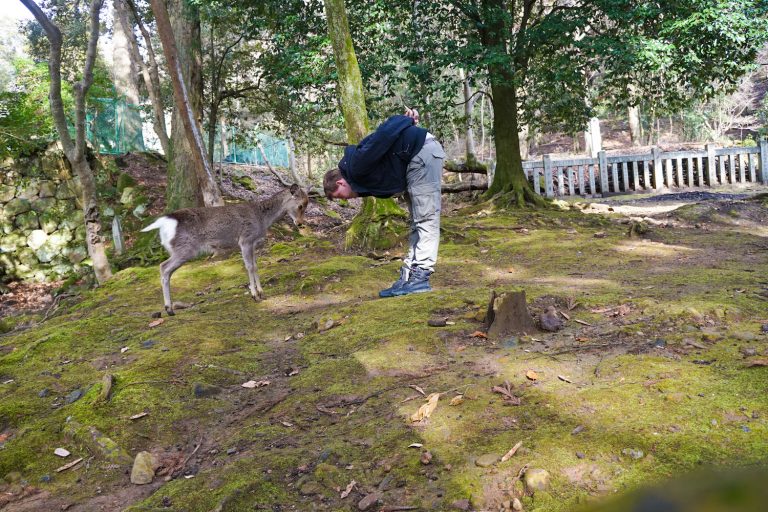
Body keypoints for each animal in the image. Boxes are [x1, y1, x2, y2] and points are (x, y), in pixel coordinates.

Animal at [141, 184, 309, 316]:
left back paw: (169, 308)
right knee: (163, 267)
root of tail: (165, 222)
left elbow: (255, 266)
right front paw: (254, 295)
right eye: (301, 205)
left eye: (306, 205)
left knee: (166, 269)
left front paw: (262, 293)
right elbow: (249, 267)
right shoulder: (245, 239)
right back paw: (169, 309)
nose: (300, 223)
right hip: (185, 249)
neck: (262, 219)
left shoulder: (254, 243)